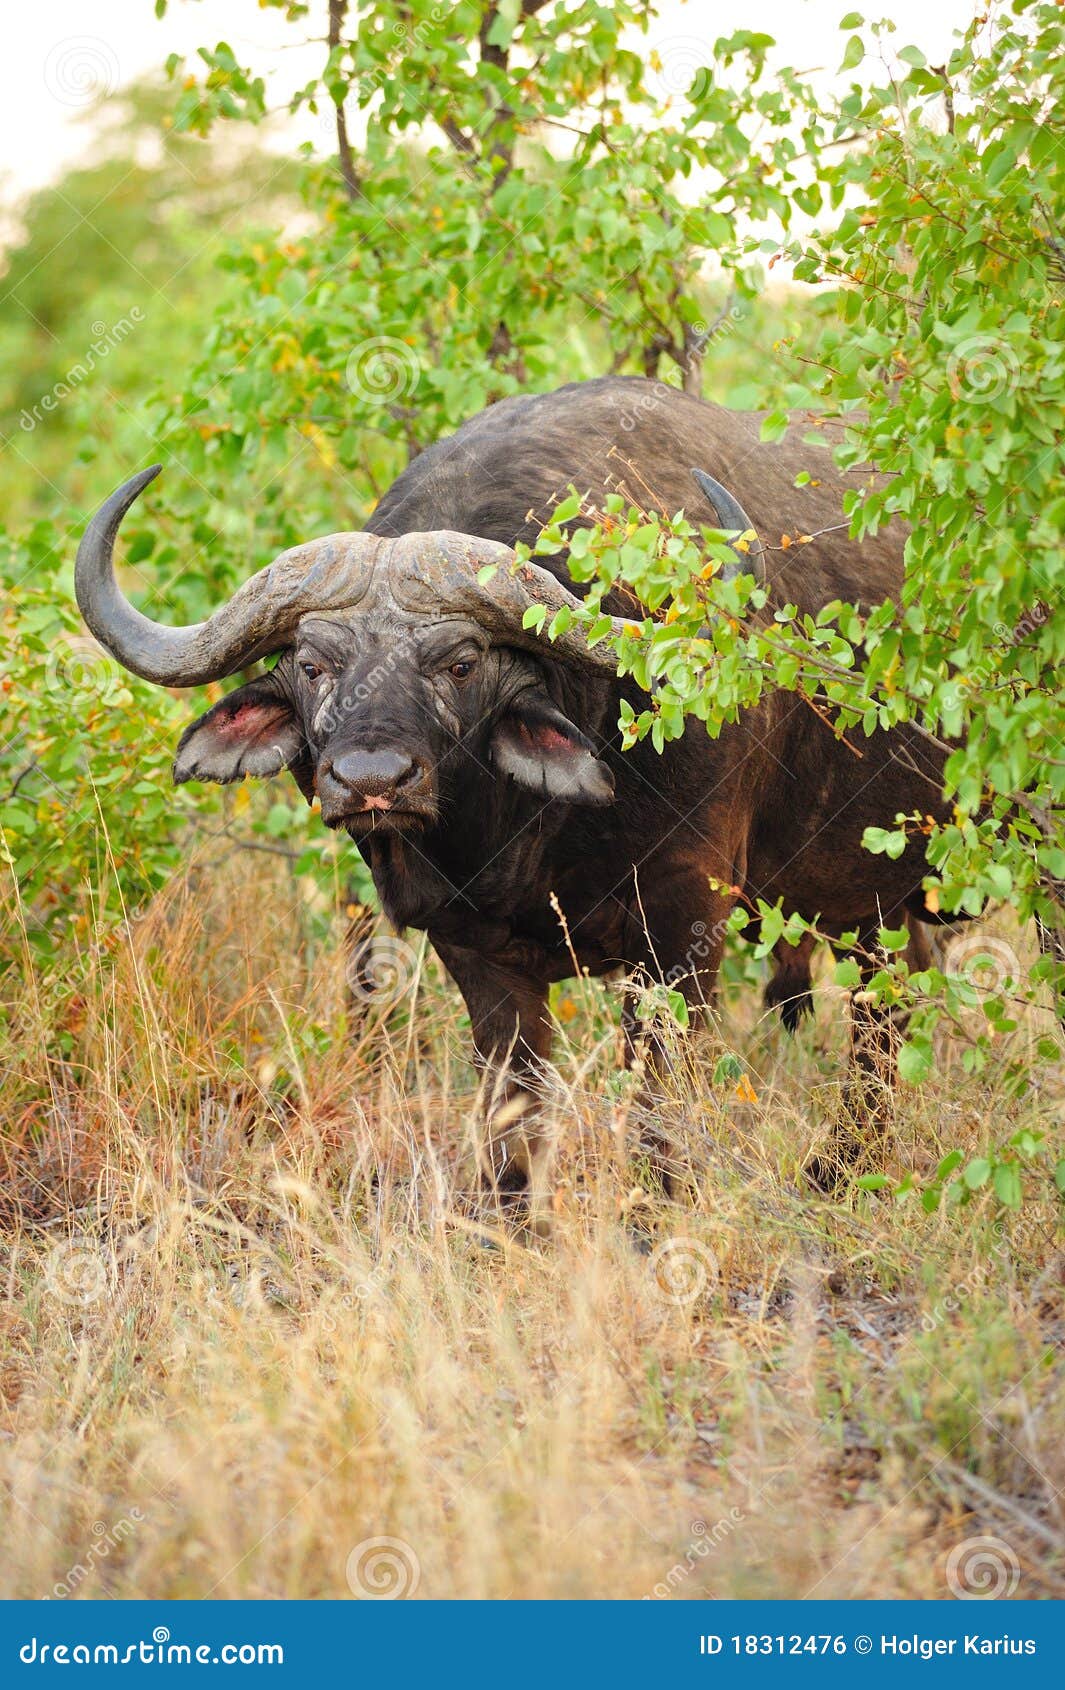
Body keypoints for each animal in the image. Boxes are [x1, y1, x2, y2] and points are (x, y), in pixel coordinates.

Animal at [76, 376, 953, 1199]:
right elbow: (512, 1111)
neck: (531, 835)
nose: (371, 782)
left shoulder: (683, 924)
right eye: (312, 665)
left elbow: (655, 1103)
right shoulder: (473, 951)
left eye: (461, 663)